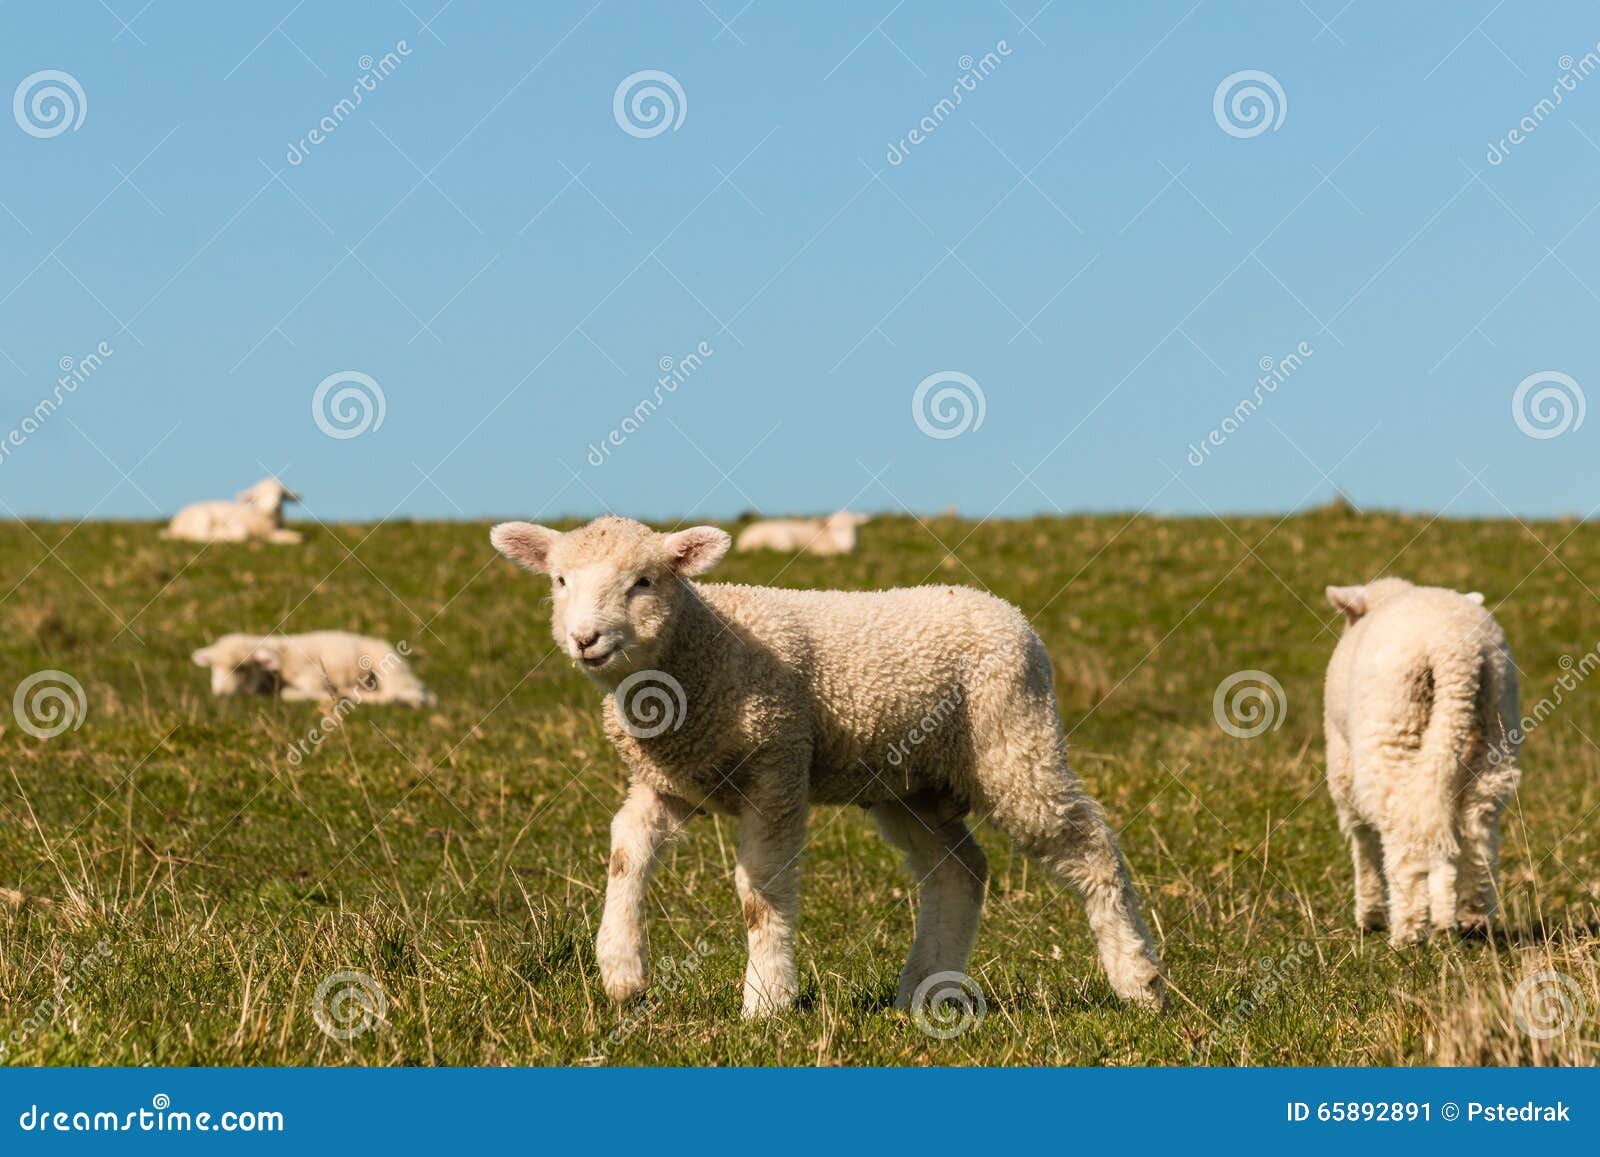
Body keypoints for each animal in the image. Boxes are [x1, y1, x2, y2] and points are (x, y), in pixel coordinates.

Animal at [163, 478, 302, 544]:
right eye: (259, 495)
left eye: (282, 495)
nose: (275, 506)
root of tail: (174, 524)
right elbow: (242, 532)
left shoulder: (272, 532)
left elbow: (295, 537)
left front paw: (293, 537)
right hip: (202, 518)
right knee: (199, 536)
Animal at [191, 631, 435, 707]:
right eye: (213, 668)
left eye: (240, 668)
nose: (219, 693)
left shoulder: (313, 676)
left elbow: (290, 694)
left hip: (387, 668)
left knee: (407, 695)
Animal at [1323, 577, 1520, 945]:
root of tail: (1455, 651)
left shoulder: (1341, 762)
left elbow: (1362, 837)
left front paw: (1369, 915)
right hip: (1493, 729)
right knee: (1475, 830)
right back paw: (1468, 919)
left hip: (1391, 729)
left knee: (1405, 836)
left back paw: (1407, 931)